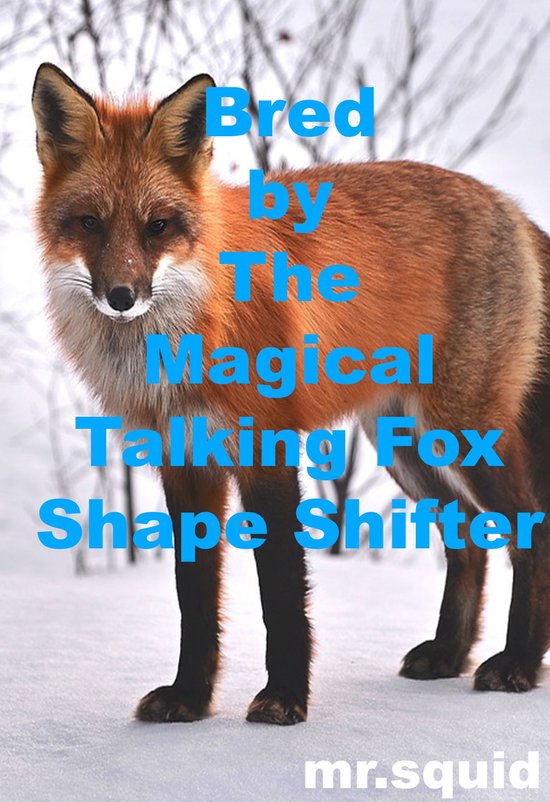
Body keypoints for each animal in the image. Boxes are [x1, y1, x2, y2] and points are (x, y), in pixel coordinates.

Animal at [32, 62, 550, 726]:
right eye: (90, 223)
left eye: (157, 226)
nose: (122, 296)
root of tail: (506, 203)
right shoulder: (185, 460)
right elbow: (193, 598)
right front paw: (190, 698)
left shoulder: (266, 450)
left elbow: (280, 591)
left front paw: (284, 700)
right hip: (407, 447)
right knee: (469, 543)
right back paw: (448, 655)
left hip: (462, 432)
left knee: (530, 532)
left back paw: (519, 664)